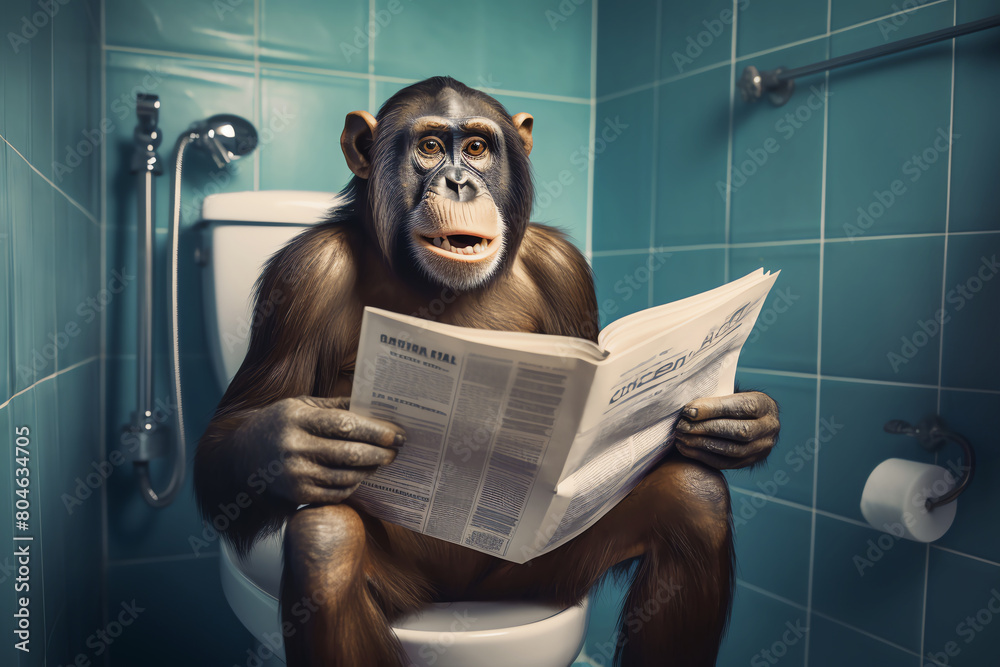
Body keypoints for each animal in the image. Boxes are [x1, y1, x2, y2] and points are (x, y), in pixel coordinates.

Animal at [194, 76, 779, 667]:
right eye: (430, 146)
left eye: (476, 148)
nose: (458, 183)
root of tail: (454, 603)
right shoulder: (303, 275)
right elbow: (232, 430)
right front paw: (304, 439)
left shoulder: (562, 266)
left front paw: (742, 423)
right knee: (327, 544)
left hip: (532, 580)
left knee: (694, 501)